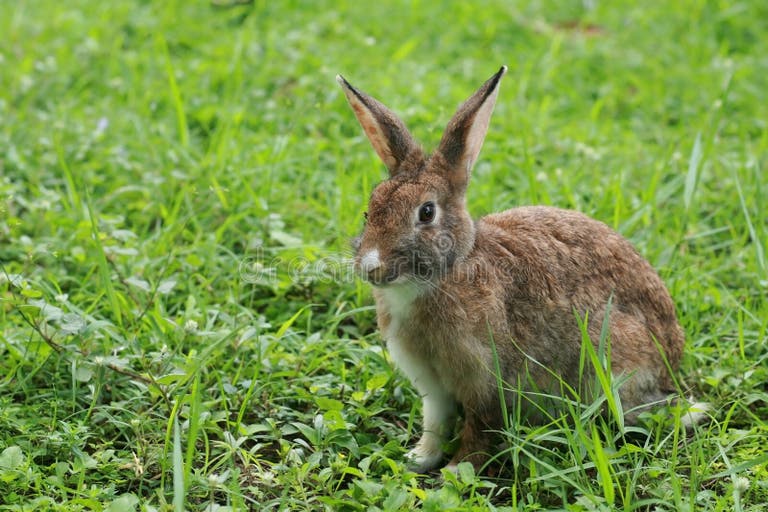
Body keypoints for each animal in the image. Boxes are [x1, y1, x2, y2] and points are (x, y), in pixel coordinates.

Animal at [336, 66, 705, 473]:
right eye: (369, 211)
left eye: (427, 213)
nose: (371, 267)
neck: (444, 273)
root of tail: (671, 359)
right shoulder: (433, 385)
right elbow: (435, 421)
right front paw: (418, 459)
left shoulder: (487, 377)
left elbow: (480, 428)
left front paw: (457, 472)